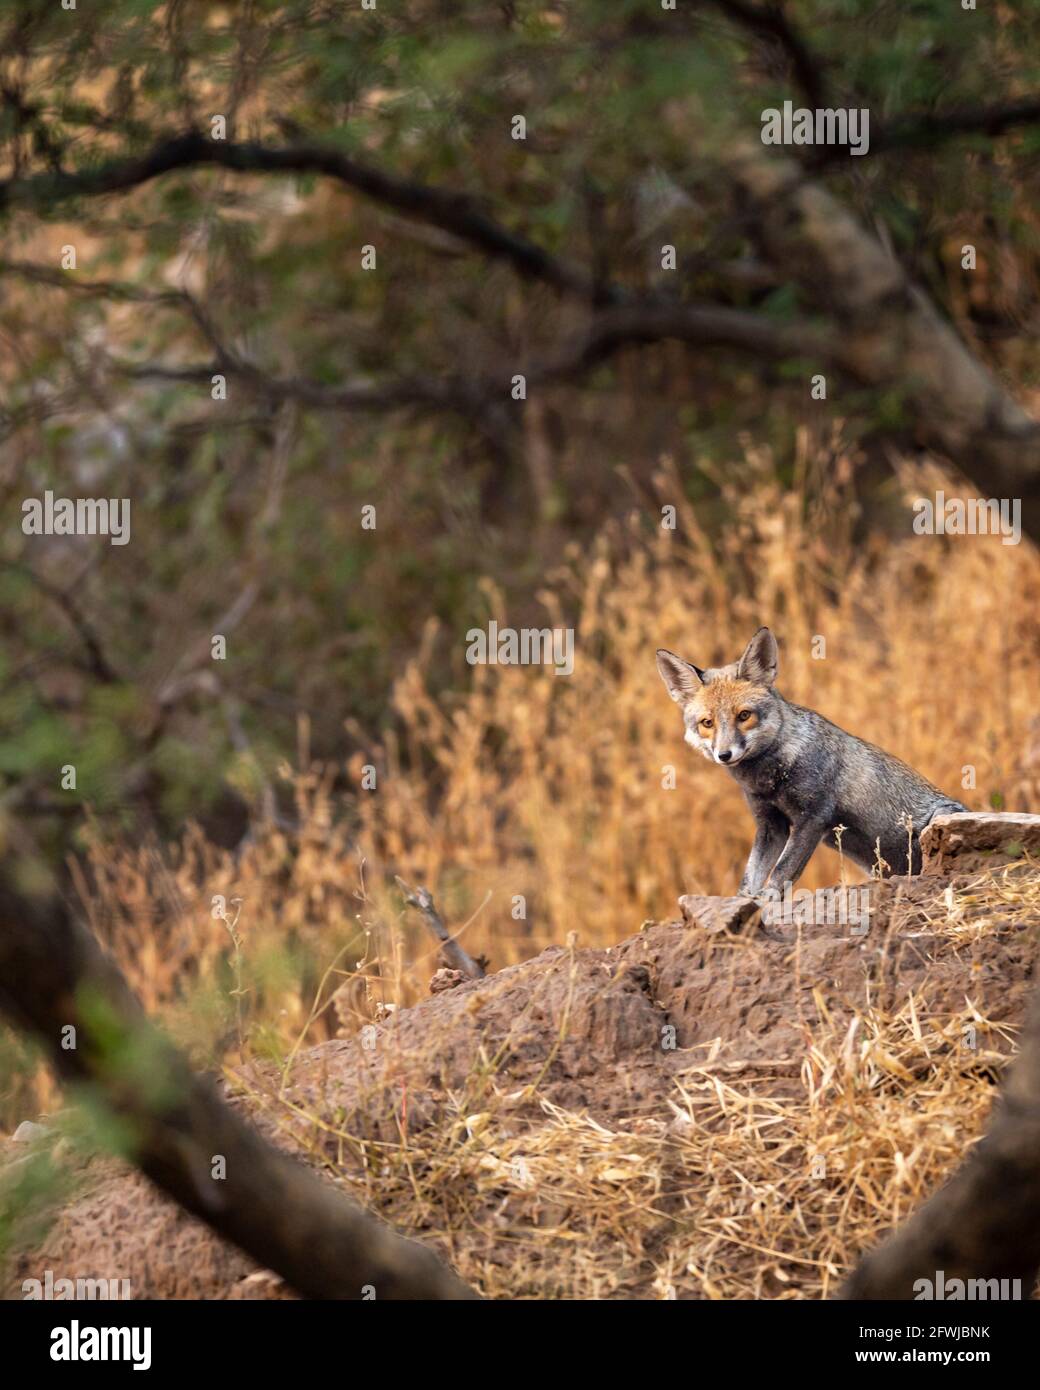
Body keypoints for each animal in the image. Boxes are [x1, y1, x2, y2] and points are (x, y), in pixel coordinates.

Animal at [656, 627, 965, 894]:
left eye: (744, 716)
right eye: (707, 723)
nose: (724, 754)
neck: (771, 779)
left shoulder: (814, 817)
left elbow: (780, 874)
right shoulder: (770, 826)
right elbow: (749, 879)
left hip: (938, 823)